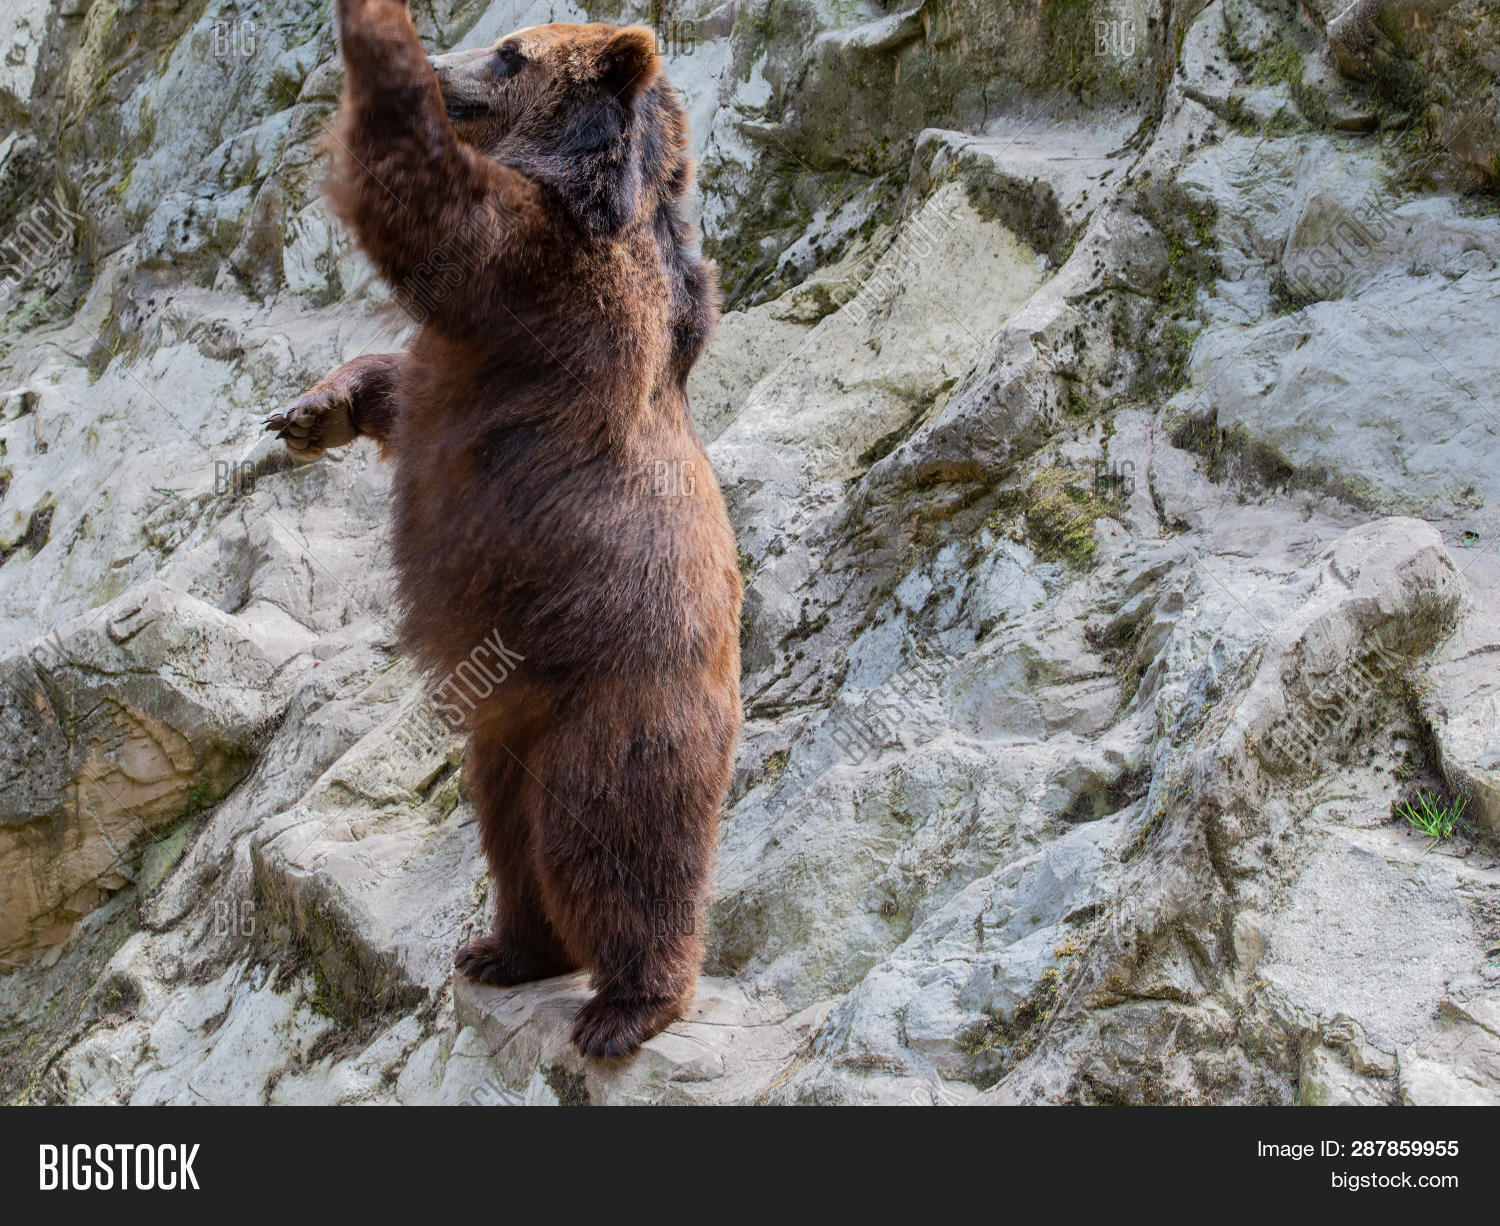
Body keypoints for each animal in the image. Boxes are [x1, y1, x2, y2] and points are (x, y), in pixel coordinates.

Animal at [265, 2, 742, 1059]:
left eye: (512, 52)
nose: (448, 68)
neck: (591, 194)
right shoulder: (494, 332)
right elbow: (403, 378)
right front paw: (312, 412)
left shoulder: (547, 278)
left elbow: (427, 213)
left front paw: (374, 38)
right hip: (508, 737)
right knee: (510, 838)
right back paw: (505, 949)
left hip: (616, 702)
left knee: (613, 847)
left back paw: (627, 1005)